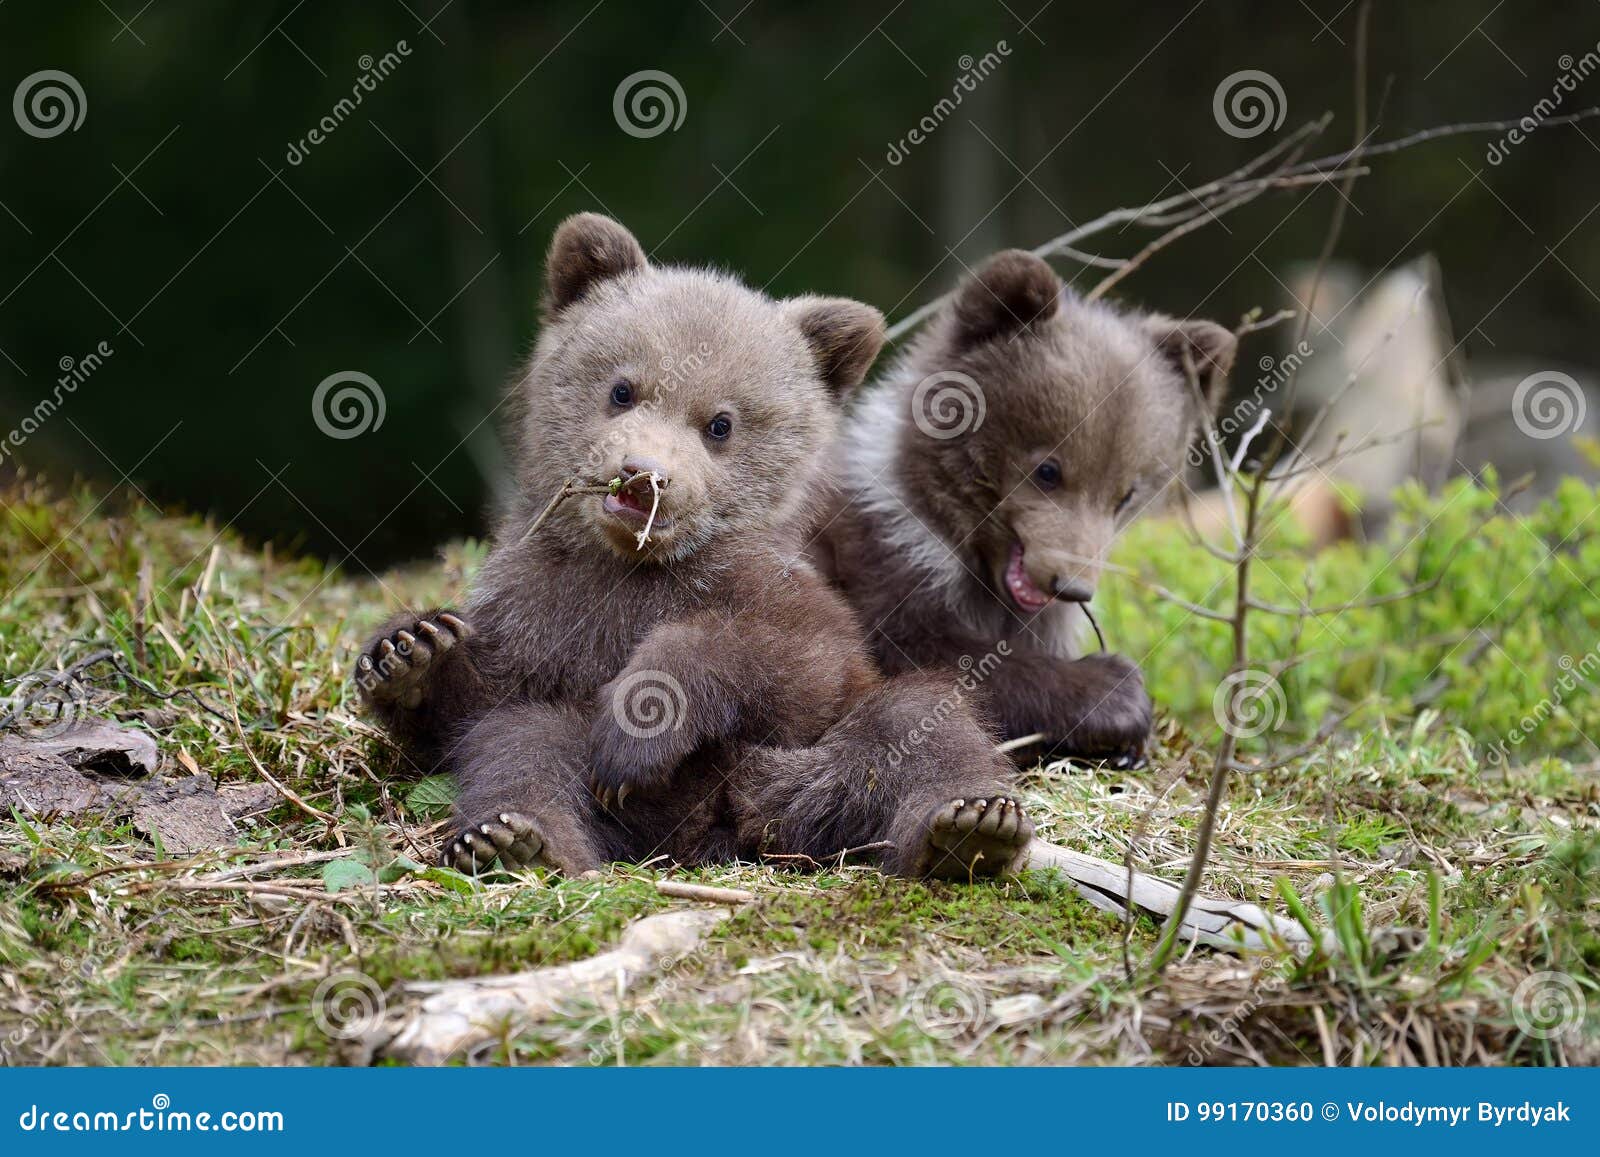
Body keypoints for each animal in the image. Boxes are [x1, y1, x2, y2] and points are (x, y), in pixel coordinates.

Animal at [354, 214, 1032, 881]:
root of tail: (726, 830)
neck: (633, 562)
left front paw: (641, 722)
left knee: (918, 717)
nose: (641, 475)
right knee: (522, 743)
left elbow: (791, 662)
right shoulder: (535, 605)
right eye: (622, 389)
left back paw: (969, 826)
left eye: (720, 424)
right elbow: (479, 705)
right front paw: (409, 650)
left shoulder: (784, 598)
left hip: (807, 763)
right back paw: (518, 839)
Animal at [813, 248, 1237, 765]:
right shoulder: (881, 559)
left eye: (1127, 493)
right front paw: (1113, 690)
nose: (1072, 586)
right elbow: (930, 656)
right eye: (1049, 470)